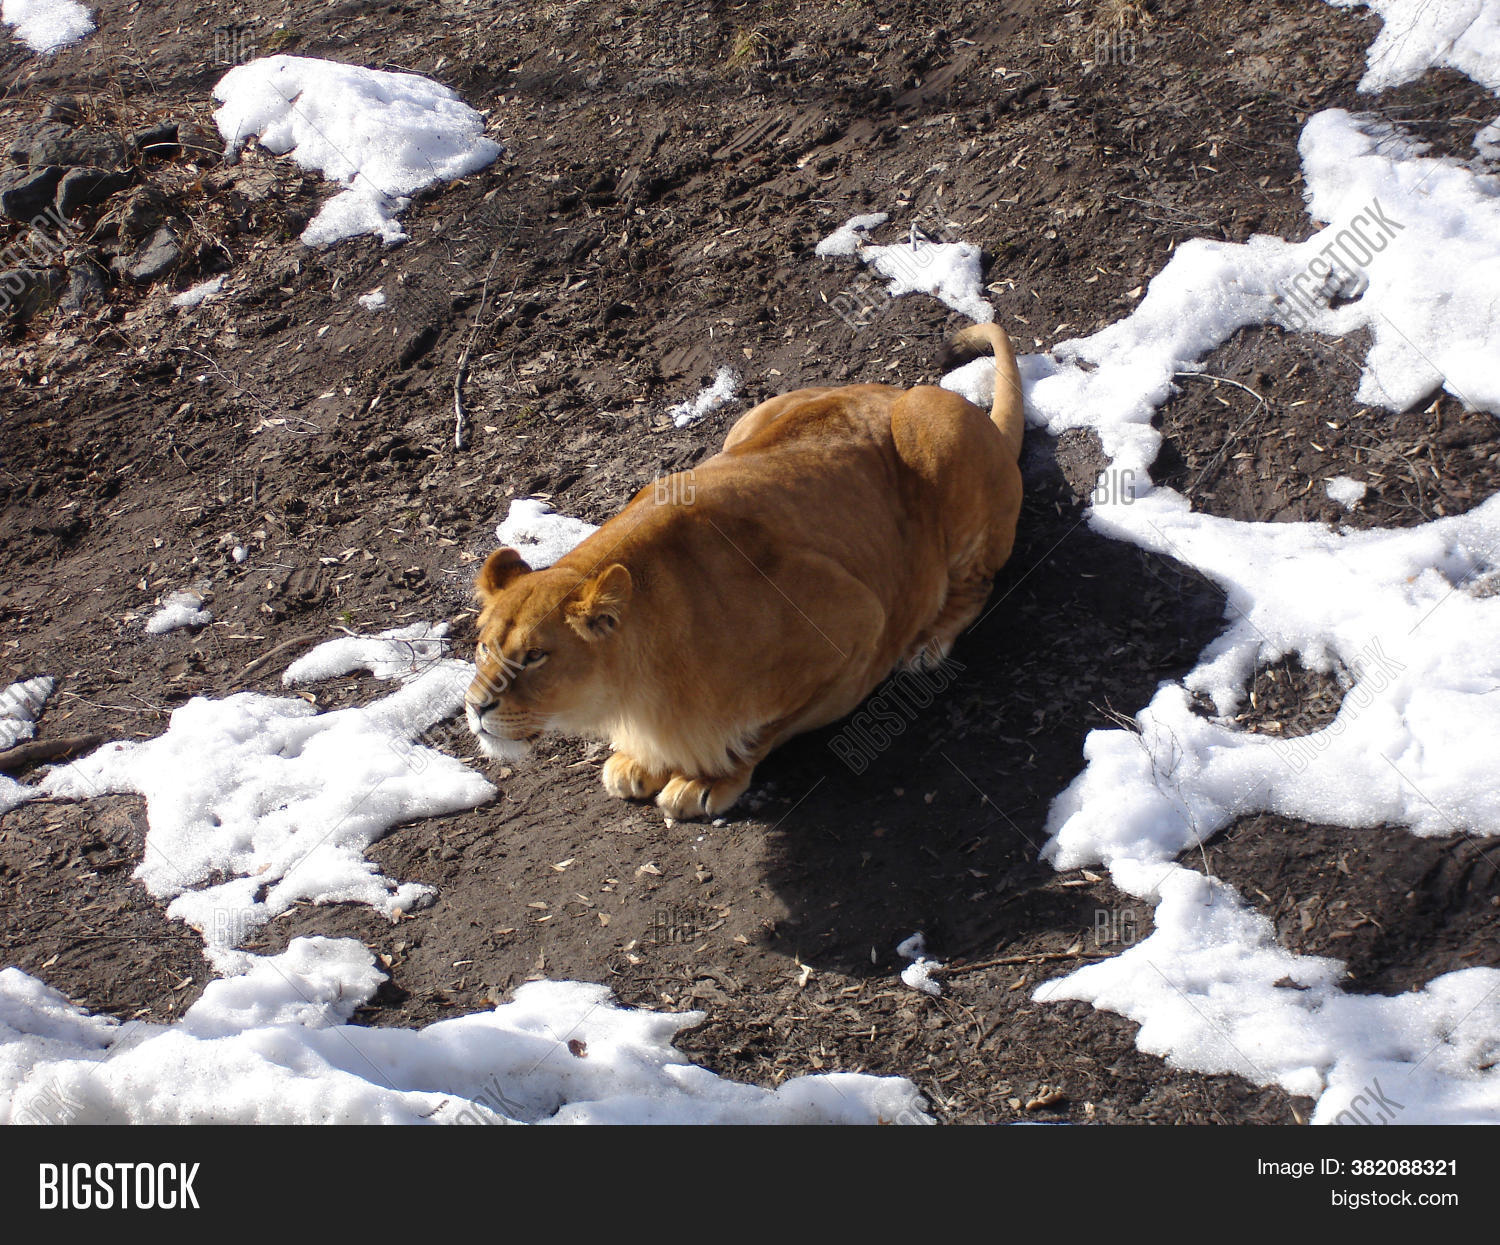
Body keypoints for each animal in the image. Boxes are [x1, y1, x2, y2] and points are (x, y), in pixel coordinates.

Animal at [466, 321, 1024, 821]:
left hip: (932, 423)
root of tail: (896, 389)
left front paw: (704, 777)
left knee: (977, 583)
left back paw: (929, 641)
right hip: (753, 419)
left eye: (535, 656)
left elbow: (762, 729)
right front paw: (640, 759)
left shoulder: (859, 622)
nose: (474, 707)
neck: (637, 684)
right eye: (483, 647)